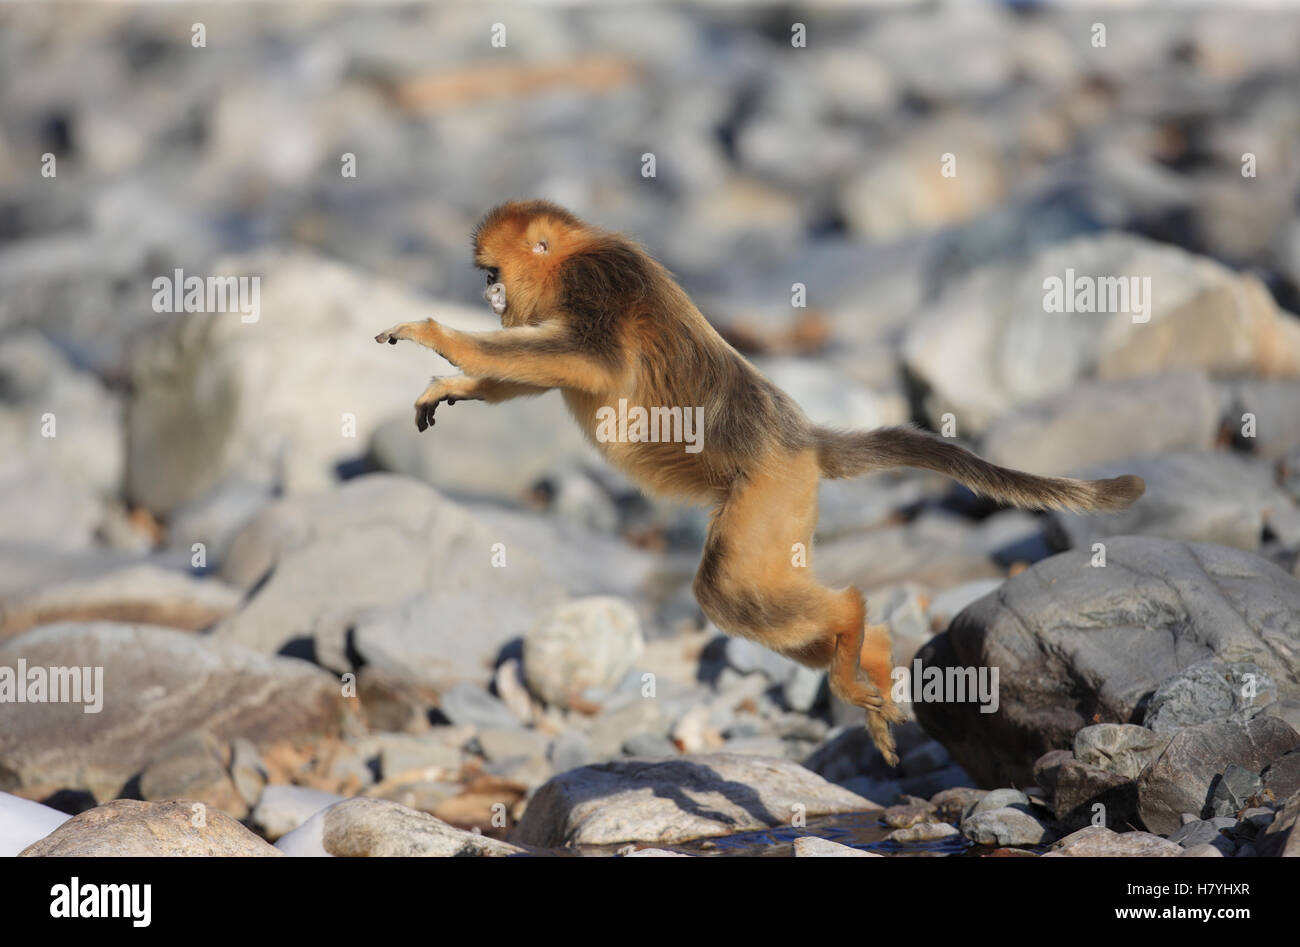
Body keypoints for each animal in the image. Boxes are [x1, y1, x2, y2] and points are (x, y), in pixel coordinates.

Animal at [374, 200, 1145, 765]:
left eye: (490, 271)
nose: (490, 292)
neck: (573, 252)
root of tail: (802, 438)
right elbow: (551, 374)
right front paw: (452, 381)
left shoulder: (598, 278)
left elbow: (590, 362)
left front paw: (435, 334)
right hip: (784, 500)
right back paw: (870, 651)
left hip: (769, 489)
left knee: (727, 589)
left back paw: (850, 623)